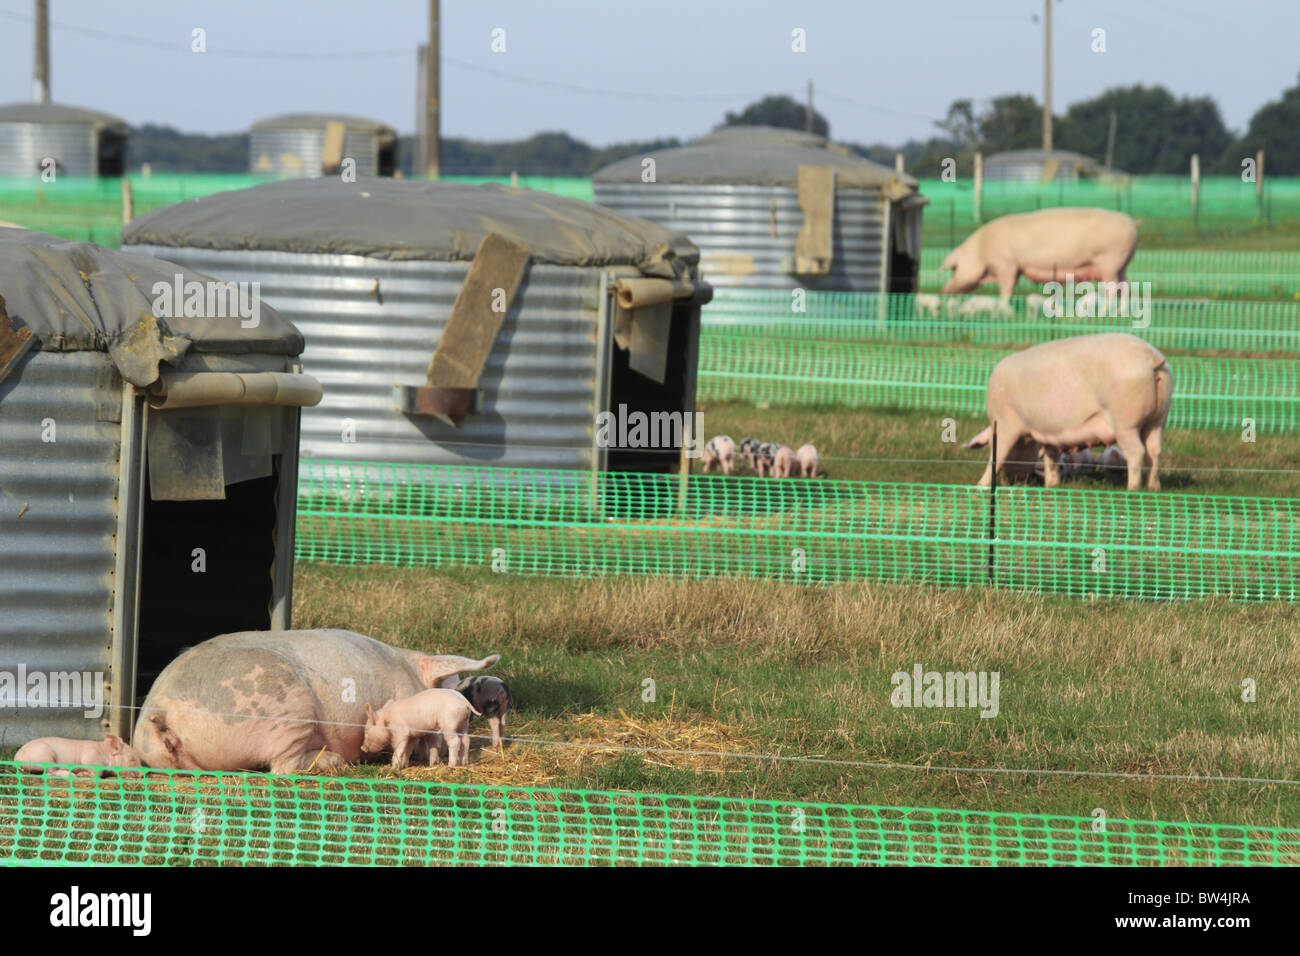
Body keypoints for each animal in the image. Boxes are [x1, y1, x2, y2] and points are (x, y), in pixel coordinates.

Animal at [14, 734, 143, 777]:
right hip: (45, 755)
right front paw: (83, 774)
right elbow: (97, 772)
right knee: (49, 772)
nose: (142, 775)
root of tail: (17, 759)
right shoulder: (90, 756)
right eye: (132, 759)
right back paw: (72, 774)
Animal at [940, 208, 1139, 302]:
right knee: (1126, 285)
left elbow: (1006, 288)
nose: (944, 290)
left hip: (1109, 260)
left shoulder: (1006, 264)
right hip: (1121, 263)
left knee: (1112, 287)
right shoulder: (1015, 267)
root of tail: (1132, 223)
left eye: (954, 269)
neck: (982, 251)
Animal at [964, 333, 1171, 491]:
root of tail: (1152, 359)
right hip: (1158, 420)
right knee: (1155, 451)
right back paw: (1153, 488)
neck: (1028, 439)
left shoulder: (1005, 422)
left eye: (989, 444)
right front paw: (1051, 486)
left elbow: (997, 456)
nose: (1012, 480)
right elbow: (1051, 458)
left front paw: (980, 486)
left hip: (1125, 422)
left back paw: (1132, 489)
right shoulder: (1049, 434)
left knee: (1137, 451)